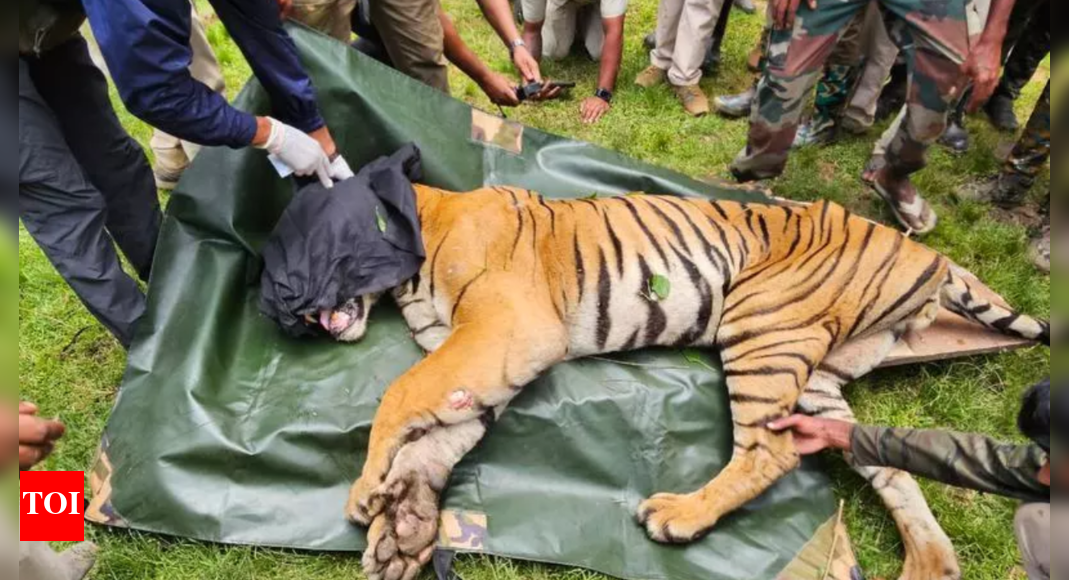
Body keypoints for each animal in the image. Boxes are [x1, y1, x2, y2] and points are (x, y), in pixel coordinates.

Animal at [314, 185, 1049, 580]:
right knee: (888, 465)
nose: (293, 306)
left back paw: (676, 516)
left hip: (763, 324)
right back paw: (929, 563)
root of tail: (930, 256)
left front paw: (364, 493)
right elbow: (435, 442)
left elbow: (402, 395)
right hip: (818, 376)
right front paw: (404, 532)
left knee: (771, 449)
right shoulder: (480, 359)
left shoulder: (507, 329)